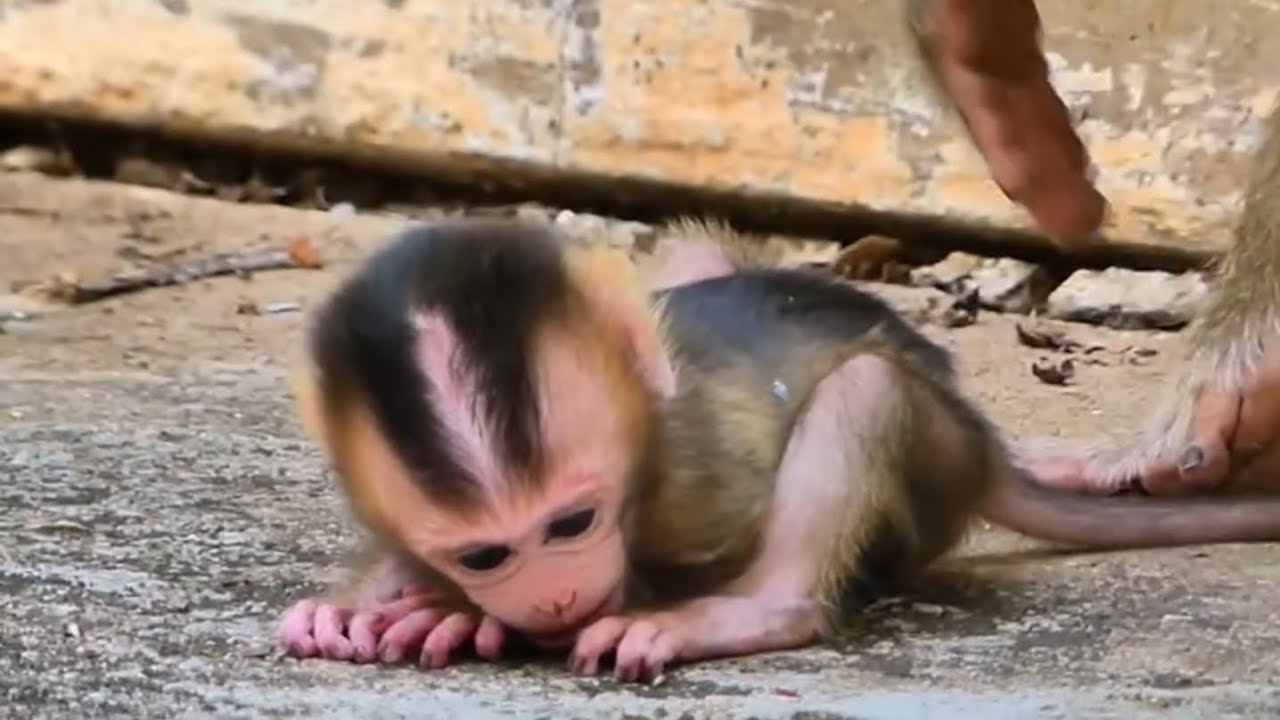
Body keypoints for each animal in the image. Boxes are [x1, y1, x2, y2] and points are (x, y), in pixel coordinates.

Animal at [276, 216, 1280, 683]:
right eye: (487, 552)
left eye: (572, 523)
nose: (554, 595)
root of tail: (985, 443)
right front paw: (384, 593)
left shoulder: (693, 476)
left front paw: (444, 612)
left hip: (934, 465)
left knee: (864, 390)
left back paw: (758, 612)